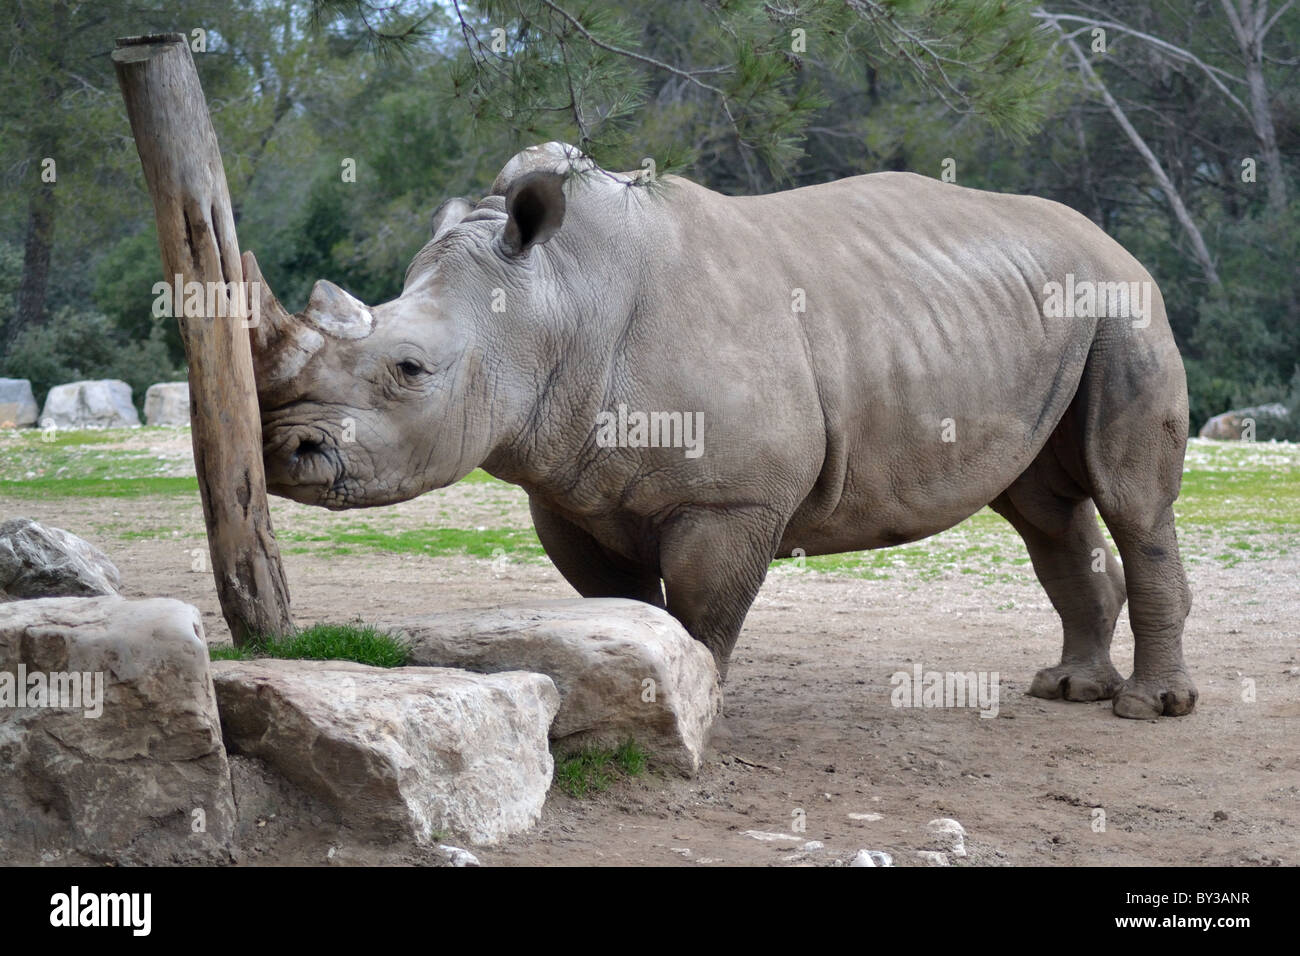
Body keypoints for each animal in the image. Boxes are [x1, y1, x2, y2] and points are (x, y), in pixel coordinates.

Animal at [246, 142, 1196, 719]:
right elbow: (621, 610)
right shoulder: (568, 487)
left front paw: (693, 712)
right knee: (1042, 509)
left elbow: (703, 614)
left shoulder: (733, 498)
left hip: (1122, 304)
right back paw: (1068, 689)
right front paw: (647, 705)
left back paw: (1146, 709)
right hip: (1042, 316)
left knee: (1130, 499)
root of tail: (1112, 241)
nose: (286, 452)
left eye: (410, 369)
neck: (554, 301)